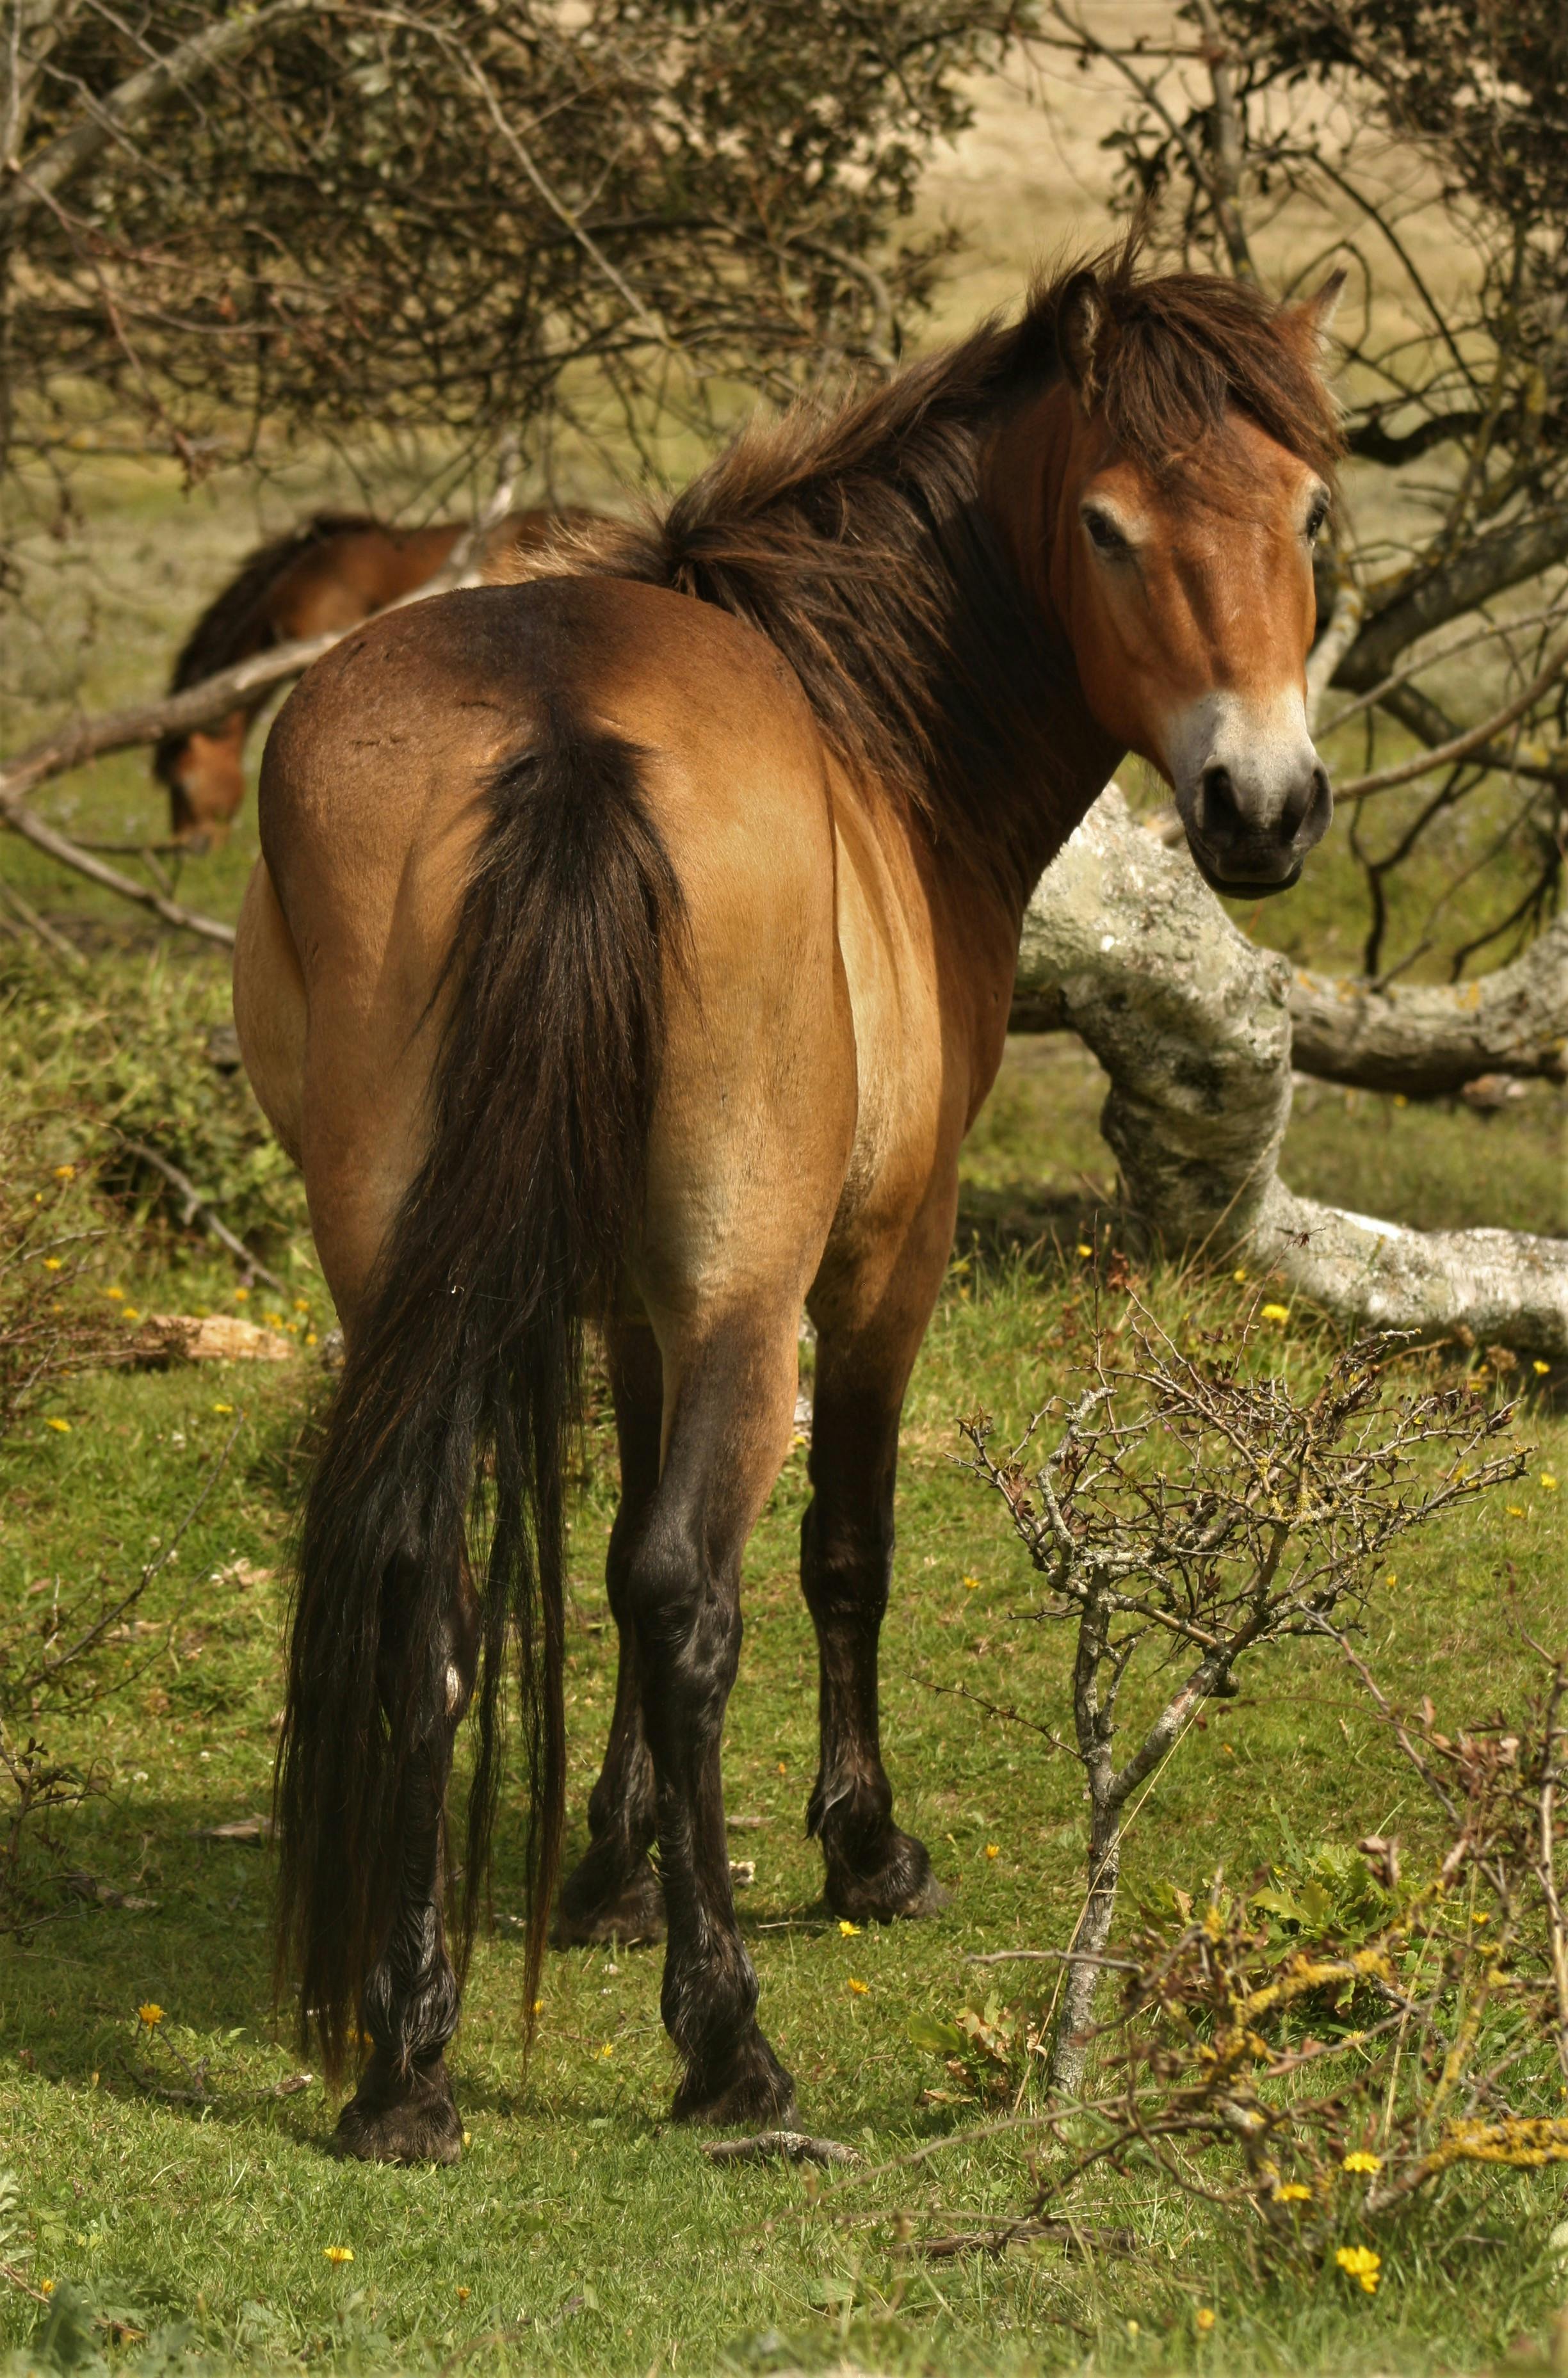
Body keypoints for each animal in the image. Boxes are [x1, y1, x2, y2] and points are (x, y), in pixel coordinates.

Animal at [232, 242, 1343, 2164]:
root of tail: (562, 734)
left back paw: (406, 2060)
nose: (1258, 808)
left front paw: (608, 1865)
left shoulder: (632, 1295)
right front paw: (861, 1846)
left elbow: (610, 1563)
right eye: (1111, 529)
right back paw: (729, 2046)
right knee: (691, 1591)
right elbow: (840, 1551)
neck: (867, 739)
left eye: (1306, 509)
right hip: (757, 1303)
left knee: (434, 1593)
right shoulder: (880, 1268)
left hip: (416, 1287)